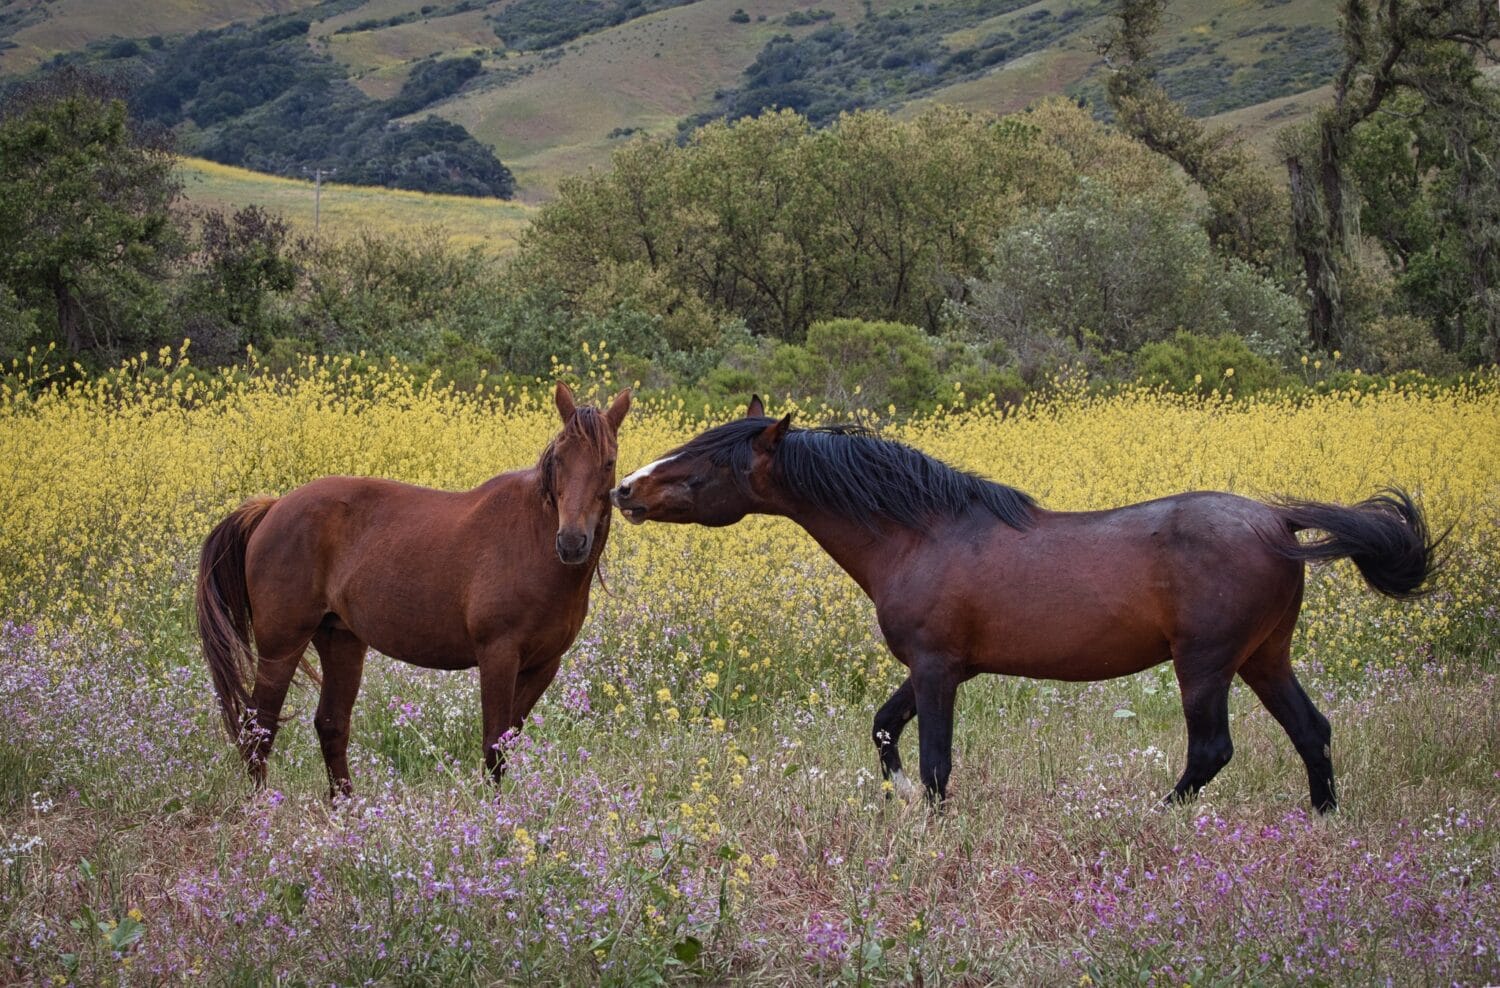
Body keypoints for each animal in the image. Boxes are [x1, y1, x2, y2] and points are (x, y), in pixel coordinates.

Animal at [197, 382, 631, 796]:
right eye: (559, 460)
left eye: (608, 463)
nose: (571, 542)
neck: (533, 539)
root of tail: (273, 507)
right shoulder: (498, 656)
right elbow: (492, 745)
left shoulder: (543, 666)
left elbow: (507, 744)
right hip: (281, 645)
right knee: (259, 730)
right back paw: (263, 810)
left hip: (341, 640)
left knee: (331, 725)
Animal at [611, 396, 1441, 813]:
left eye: (706, 462)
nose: (625, 489)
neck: (919, 532)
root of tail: (1279, 522)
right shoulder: (939, 667)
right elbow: (883, 730)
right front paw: (894, 795)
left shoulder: (937, 669)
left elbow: (935, 761)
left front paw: (930, 821)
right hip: (1264, 657)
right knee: (1311, 731)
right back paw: (1322, 818)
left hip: (1205, 663)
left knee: (1211, 751)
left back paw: (1154, 816)